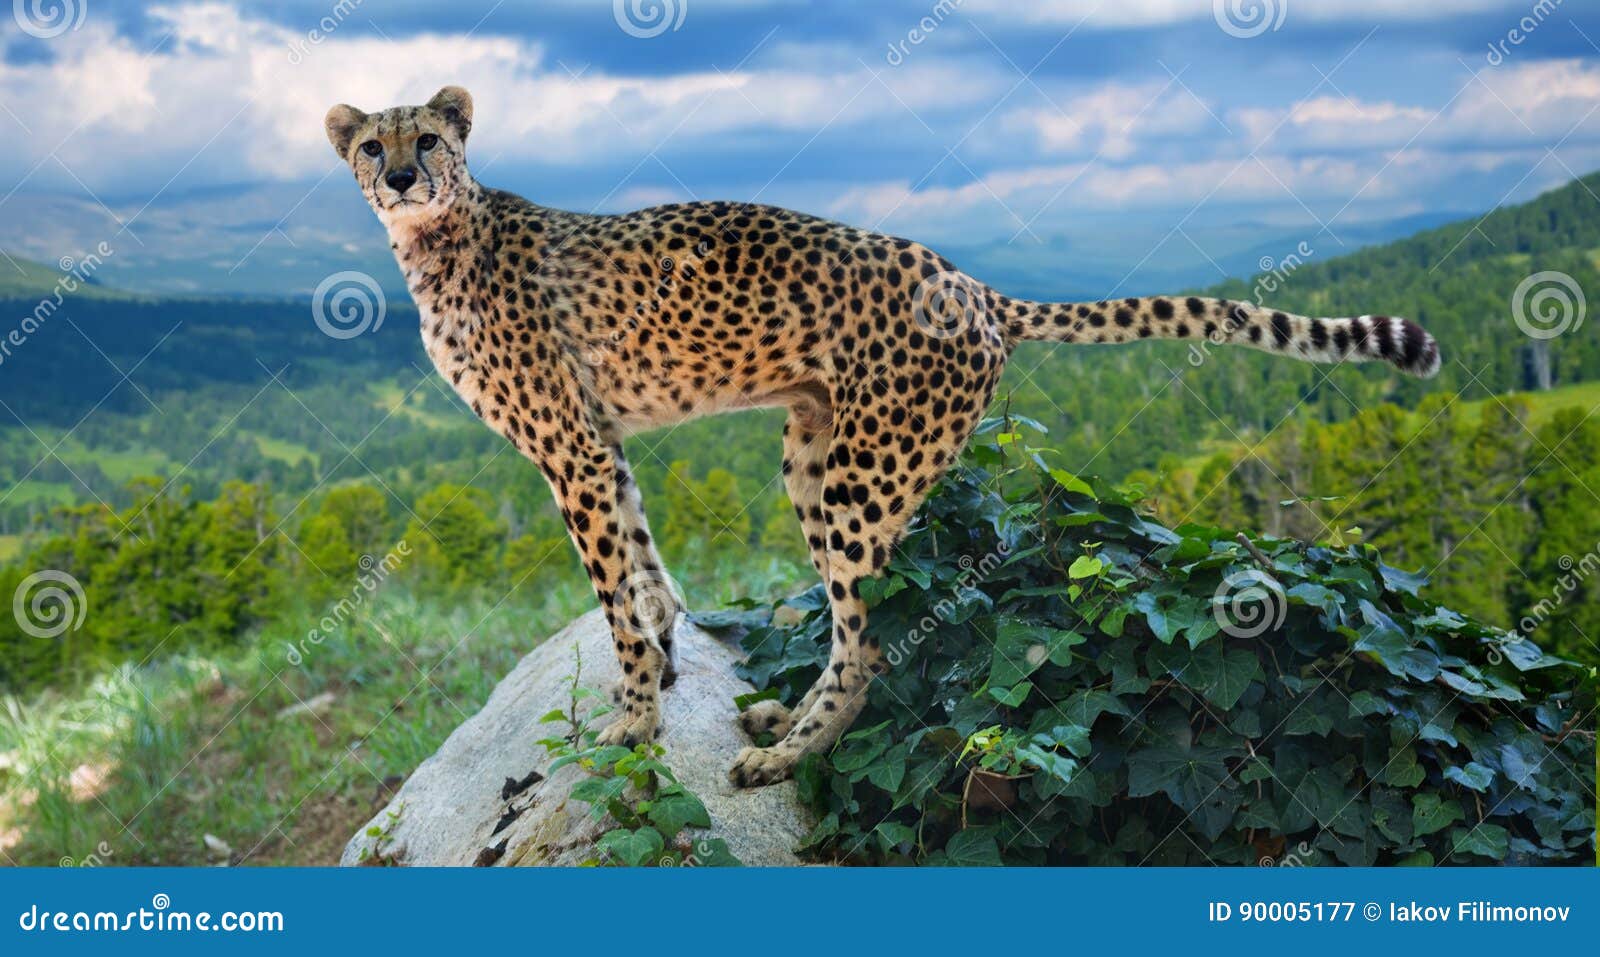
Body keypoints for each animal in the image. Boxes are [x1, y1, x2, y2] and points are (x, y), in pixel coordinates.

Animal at [326, 87, 1441, 788]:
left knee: (868, 642)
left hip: (863, 476)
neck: (435, 244)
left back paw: (789, 754)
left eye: (428, 139)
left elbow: (618, 601)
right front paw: (667, 674)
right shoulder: (604, 445)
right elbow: (645, 573)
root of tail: (970, 280)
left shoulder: (572, 451)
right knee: (857, 622)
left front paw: (635, 722)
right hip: (814, 453)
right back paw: (782, 721)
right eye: (373, 146)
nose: (400, 177)